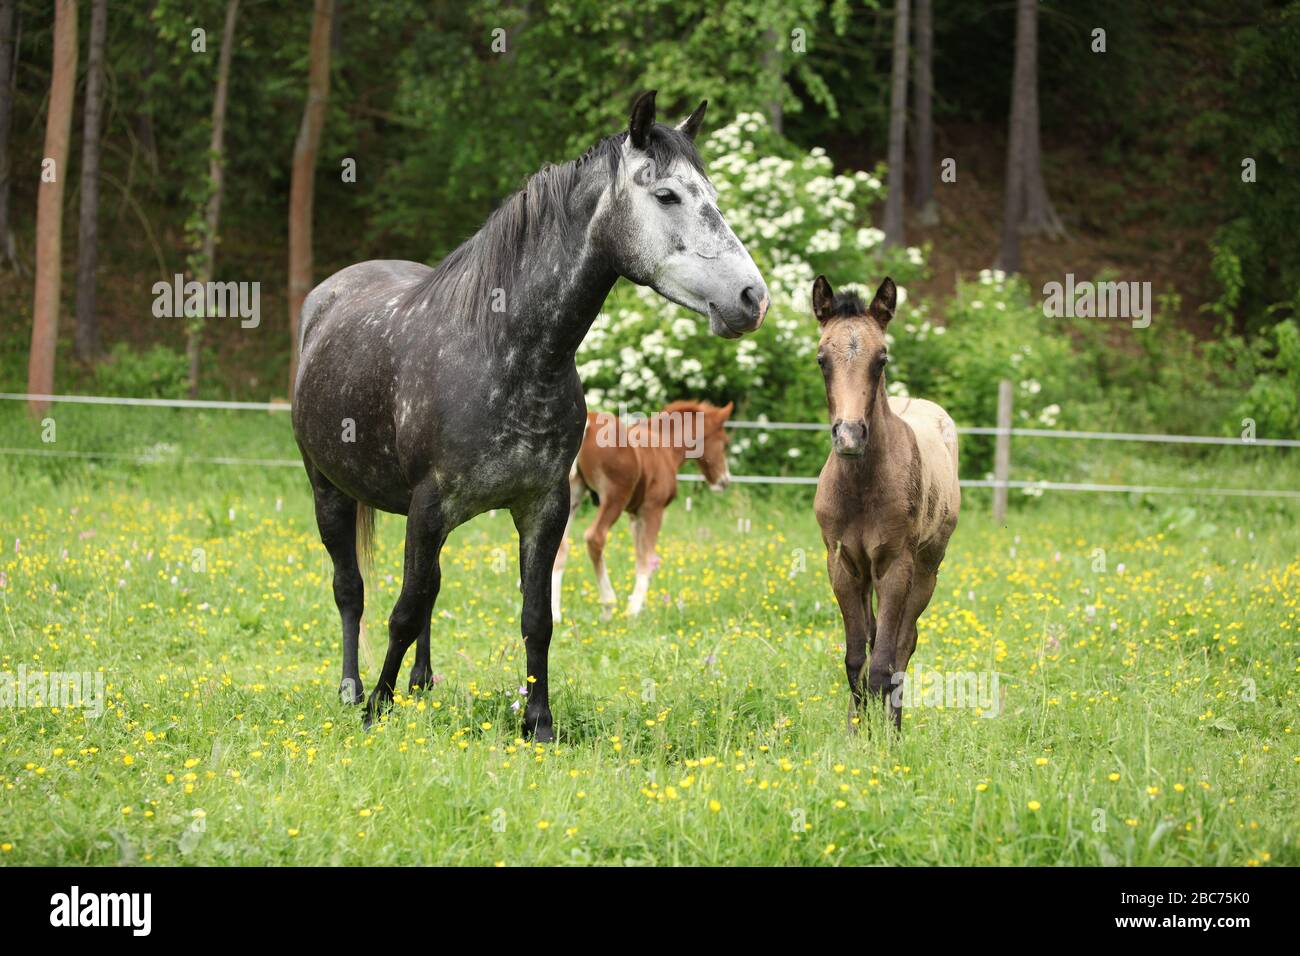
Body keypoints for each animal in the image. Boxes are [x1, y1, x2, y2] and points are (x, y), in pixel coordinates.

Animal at [551, 399, 733, 620]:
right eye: (725, 442)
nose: (725, 480)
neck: (665, 445)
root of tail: (587, 425)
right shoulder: (653, 509)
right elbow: (648, 559)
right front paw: (634, 610)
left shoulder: (634, 515)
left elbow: (639, 557)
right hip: (614, 497)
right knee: (595, 537)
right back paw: (608, 604)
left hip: (573, 495)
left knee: (560, 545)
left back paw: (555, 613)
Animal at [810, 275, 960, 730]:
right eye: (821, 359)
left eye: (882, 359)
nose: (849, 436)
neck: (862, 488)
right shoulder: (842, 564)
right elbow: (855, 657)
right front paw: (855, 730)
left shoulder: (896, 565)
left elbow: (883, 661)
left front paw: (885, 737)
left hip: (927, 568)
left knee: (904, 644)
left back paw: (894, 721)